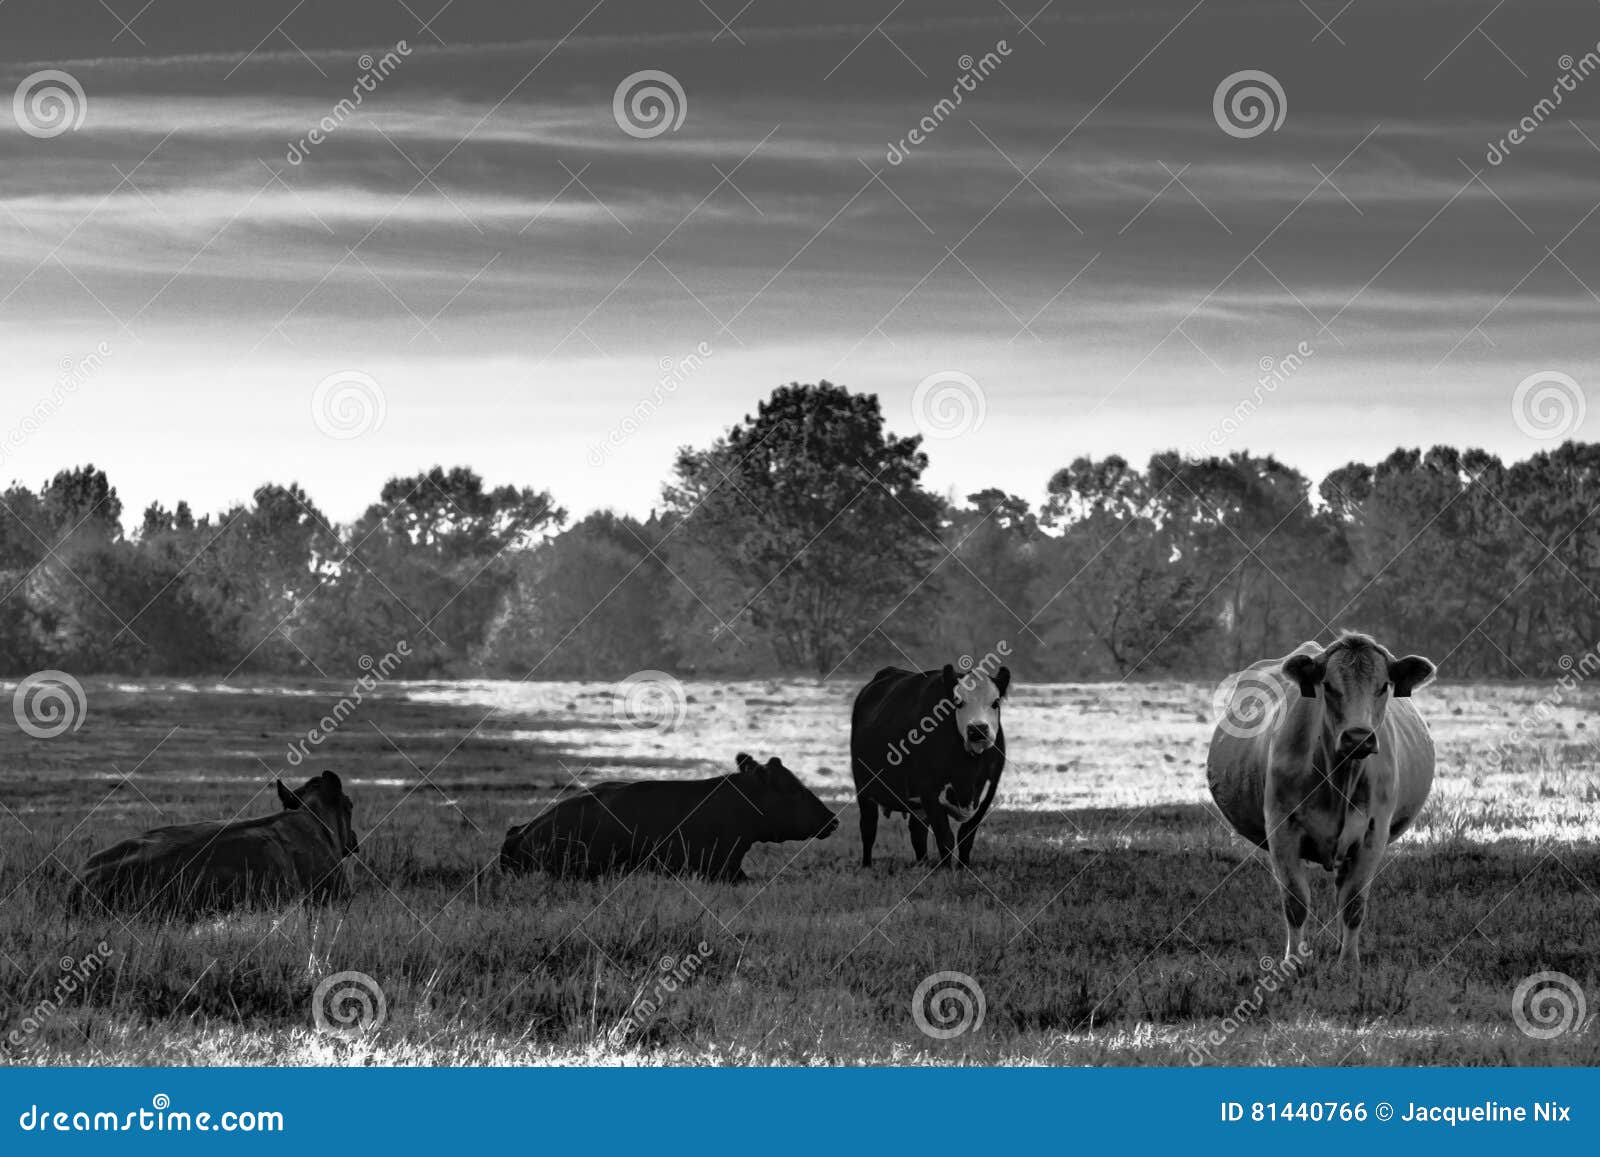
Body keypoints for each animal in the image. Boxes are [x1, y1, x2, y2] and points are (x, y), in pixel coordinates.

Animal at [850, 663, 1010, 869]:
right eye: (958, 702)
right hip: (864, 788)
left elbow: (966, 838)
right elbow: (945, 838)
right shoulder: (929, 792)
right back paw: (867, 865)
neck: (968, 771)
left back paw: (922, 864)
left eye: (995, 702)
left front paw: (963, 869)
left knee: (917, 832)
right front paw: (946, 870)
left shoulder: (986, 794)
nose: (977, 729)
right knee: (868, 828)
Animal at [1206, 633, 1436, 969]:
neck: (1339, 776)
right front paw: (1294, 963)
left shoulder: (1373, 832)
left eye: (1384, 686)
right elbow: (1295, 902)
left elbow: (1353, 904)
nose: (1358, 737)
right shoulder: (1282, 829)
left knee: (1343, 893)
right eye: (1328, 685)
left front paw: (1348, 964)